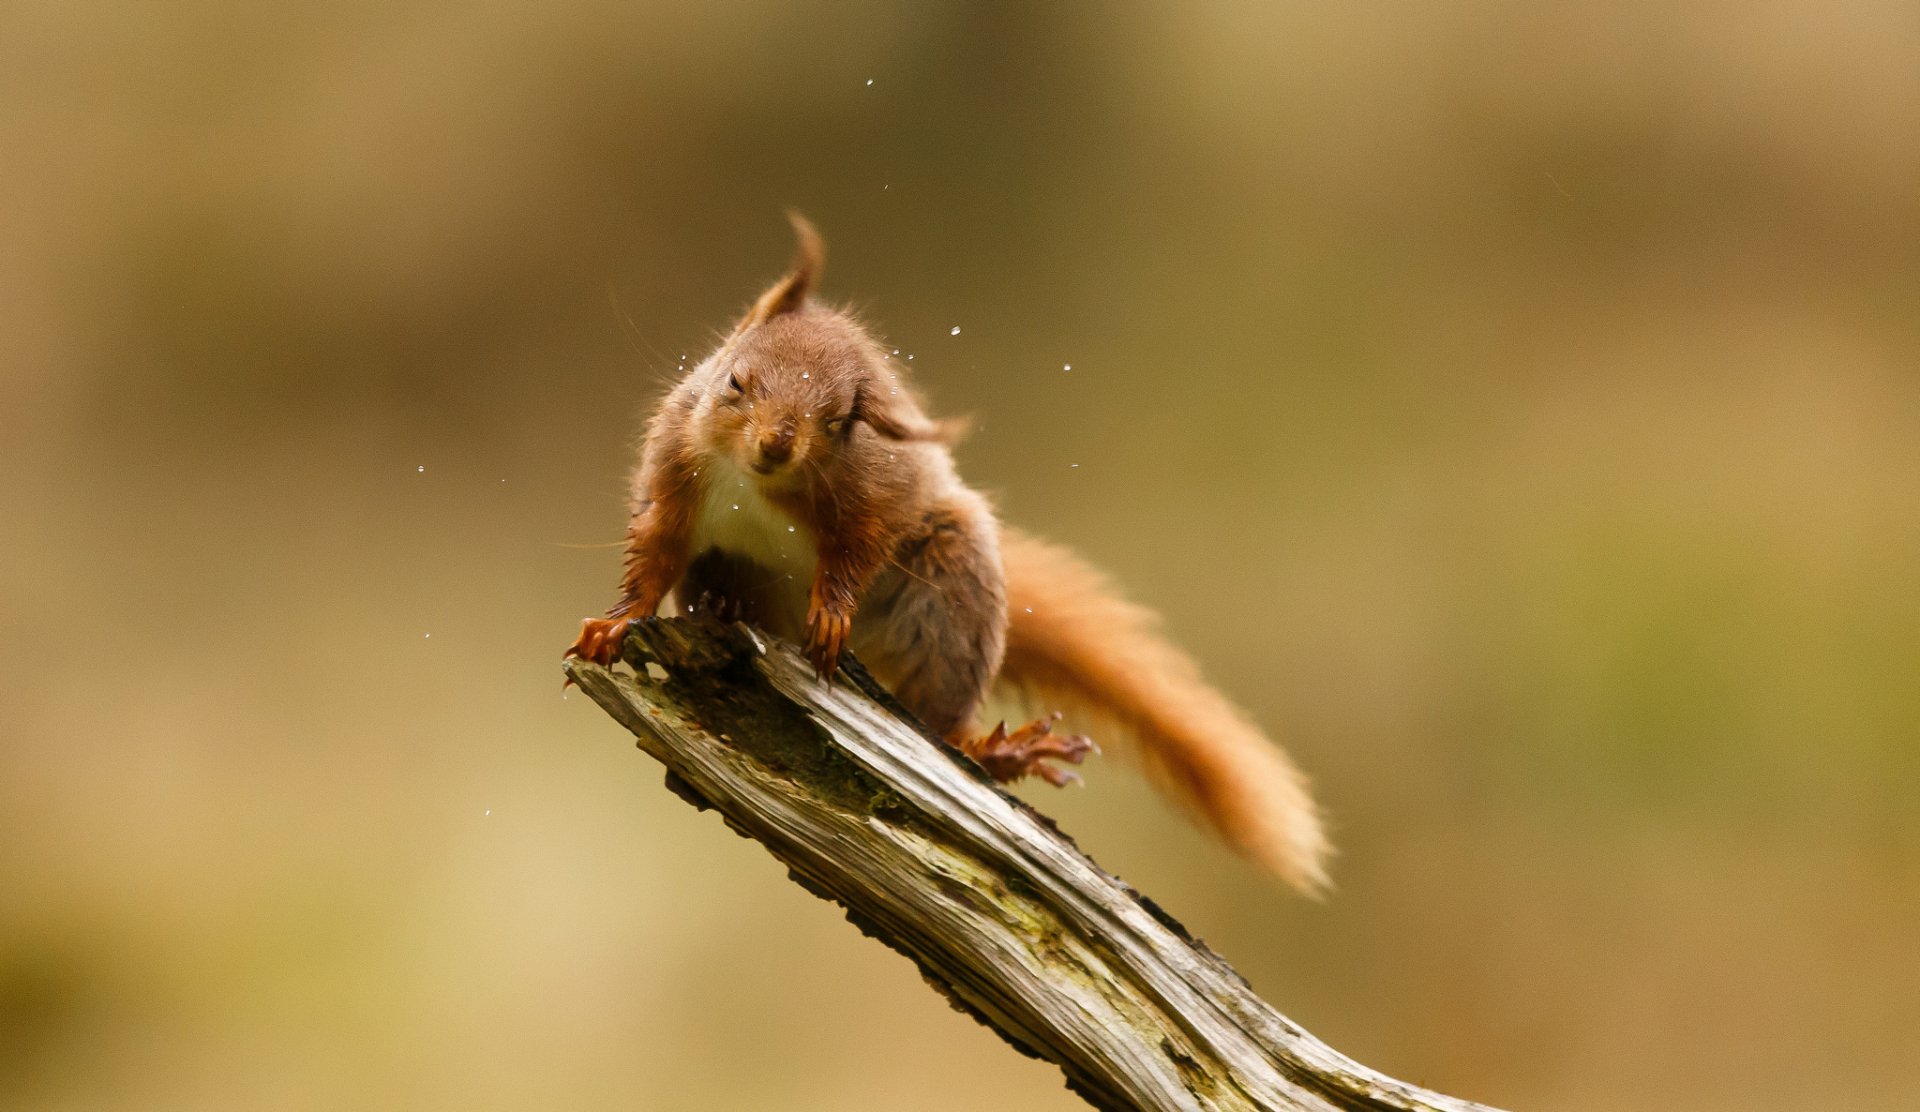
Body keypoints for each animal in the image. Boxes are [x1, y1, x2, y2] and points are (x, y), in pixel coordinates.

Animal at [564, 215, 1330, 892]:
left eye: (838, 421)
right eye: (734, 381)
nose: (776, 444)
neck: (758, 483)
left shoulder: (877, 494)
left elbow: (859, 547)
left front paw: (831, 612)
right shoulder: (674, 479)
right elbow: (654, 555)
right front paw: (614, 623)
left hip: (951, 590)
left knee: (942, 720)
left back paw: (996, 749)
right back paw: (724, 605)